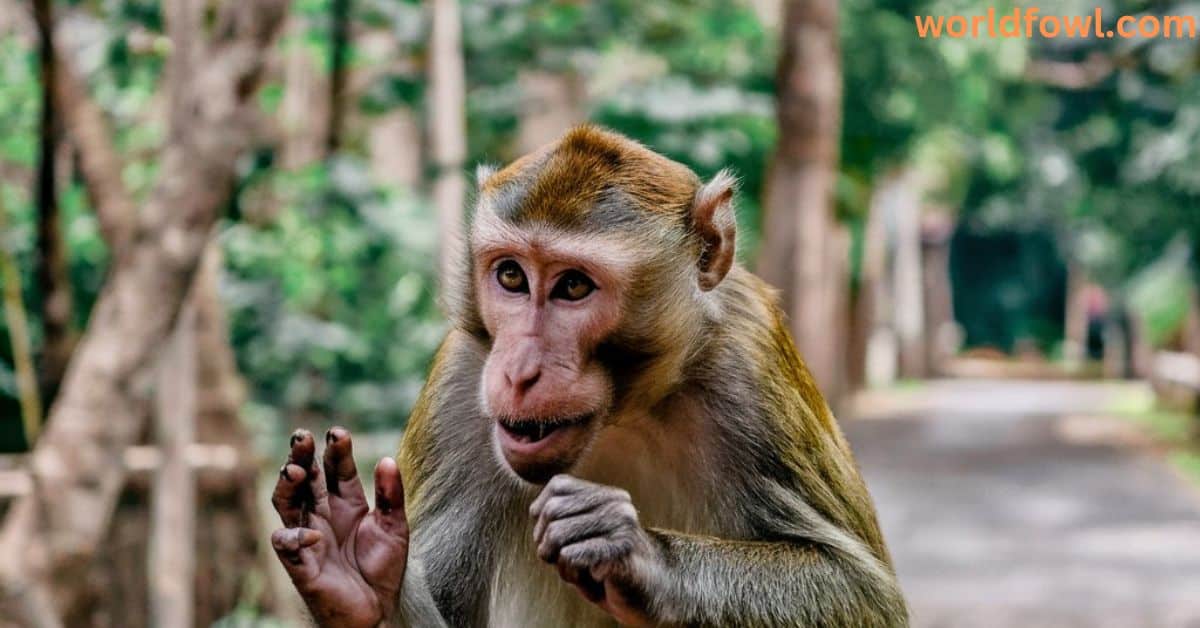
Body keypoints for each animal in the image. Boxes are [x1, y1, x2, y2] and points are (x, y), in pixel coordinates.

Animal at [270, 125, 908, 627]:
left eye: (573, 286)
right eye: (511, 276)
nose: (518, 370)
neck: (623, 413)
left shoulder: (749, 372)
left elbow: (864, 594)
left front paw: (636, 554)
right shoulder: (461, 379)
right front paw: (356, 577)